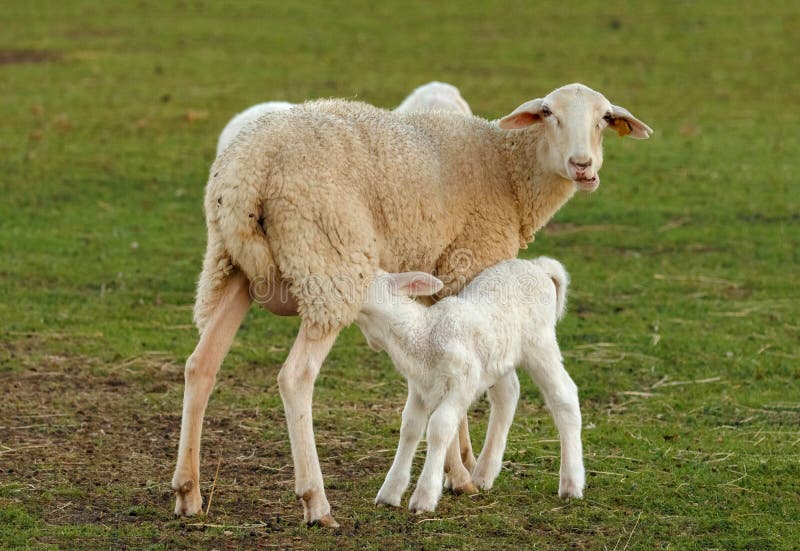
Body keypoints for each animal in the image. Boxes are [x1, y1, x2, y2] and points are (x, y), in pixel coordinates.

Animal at [355, 257, 579, 513]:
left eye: (361, 276)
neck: (424, 334)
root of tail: (539, 266)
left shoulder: (463, 382)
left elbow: (439, 427)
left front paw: (424, 497)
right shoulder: (420, 388)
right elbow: (410, 427)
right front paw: (390, 493)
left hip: (540, 342)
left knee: (564, 395)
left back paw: (571, 484)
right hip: (499, 356)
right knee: (508, 394)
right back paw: (484, 473)